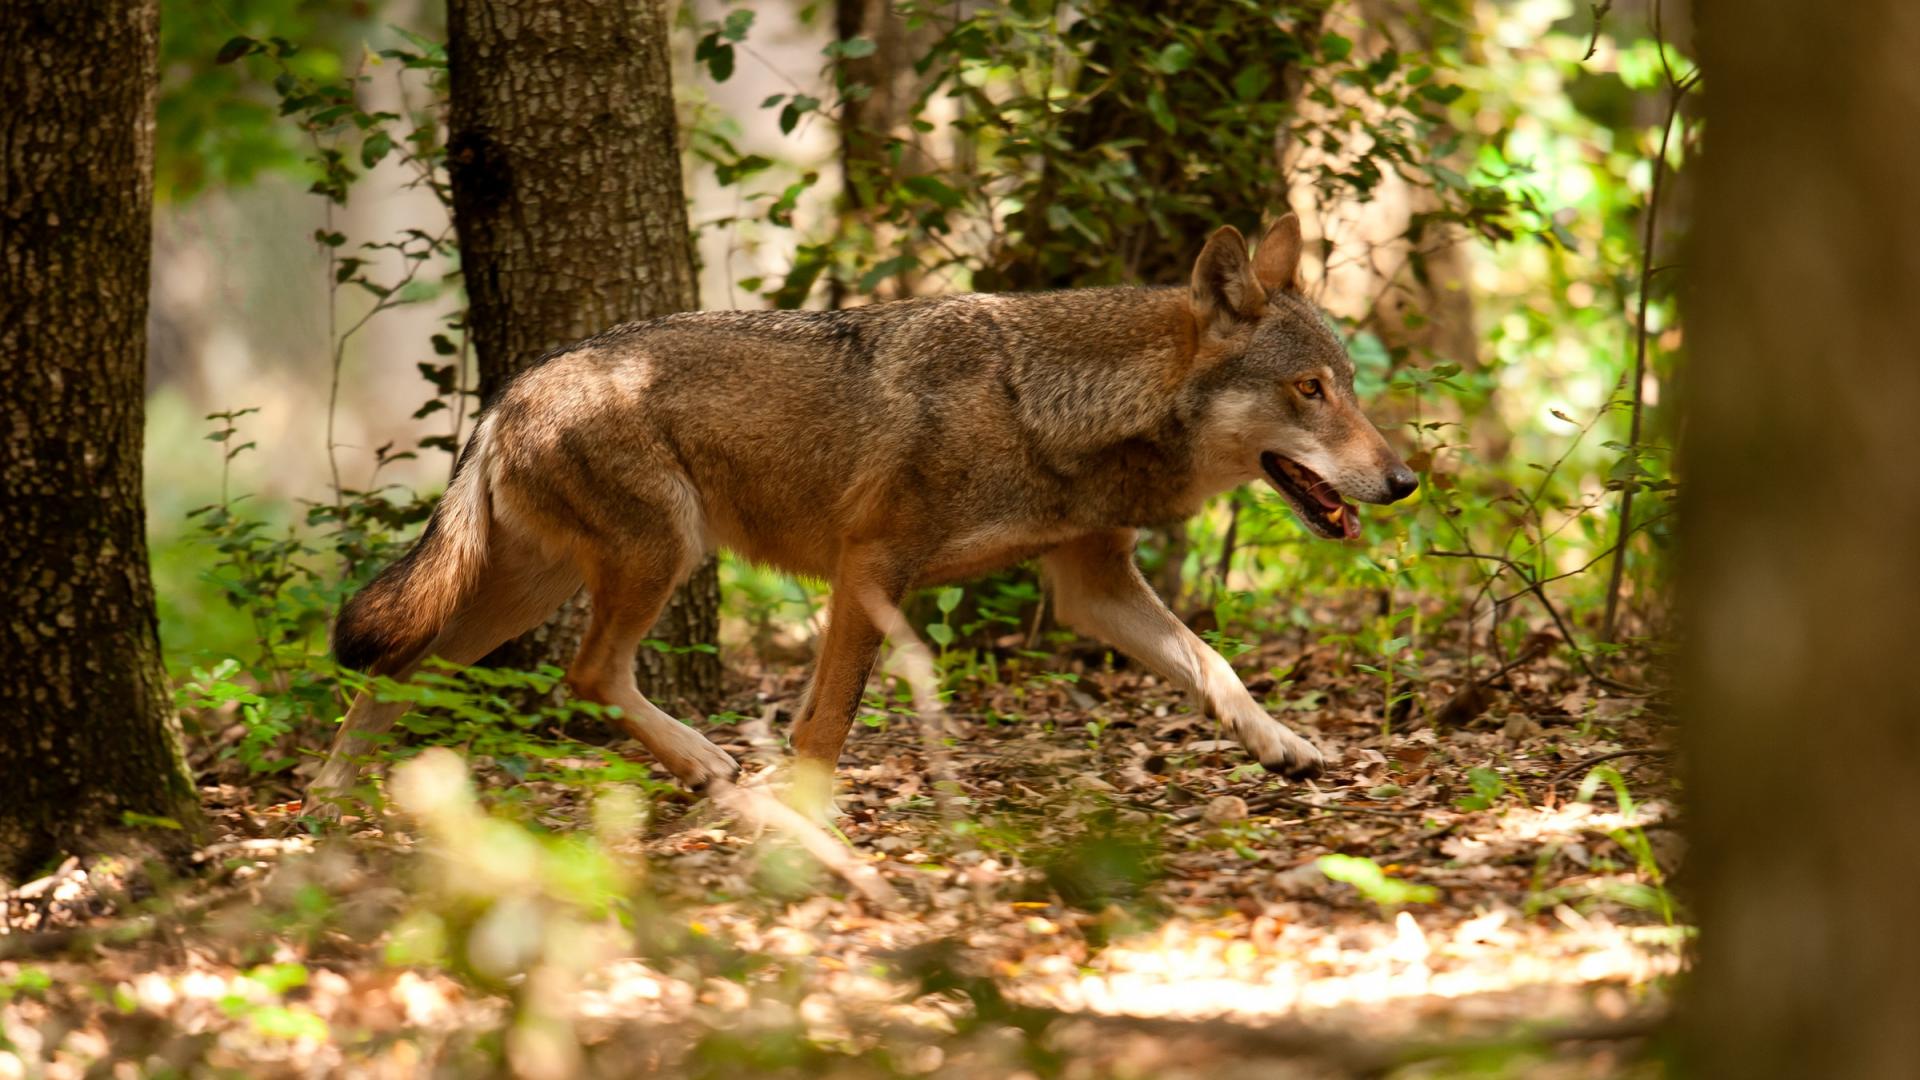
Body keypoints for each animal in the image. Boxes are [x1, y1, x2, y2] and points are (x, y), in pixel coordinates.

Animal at [306, 213, 1418, 811]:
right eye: (1310, 390)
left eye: (1353, 387)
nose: (1404, 481)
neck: (1052, 404)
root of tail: (512, 388)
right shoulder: (871, 567)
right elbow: (828, 720)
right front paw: (812, 826)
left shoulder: (1089, 585)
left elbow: (1213, 664)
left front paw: (1282, 744)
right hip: (657, 557)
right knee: (583, 676)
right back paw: (707, 764)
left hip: (526, 592)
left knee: (407, 667)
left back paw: (330, 801)